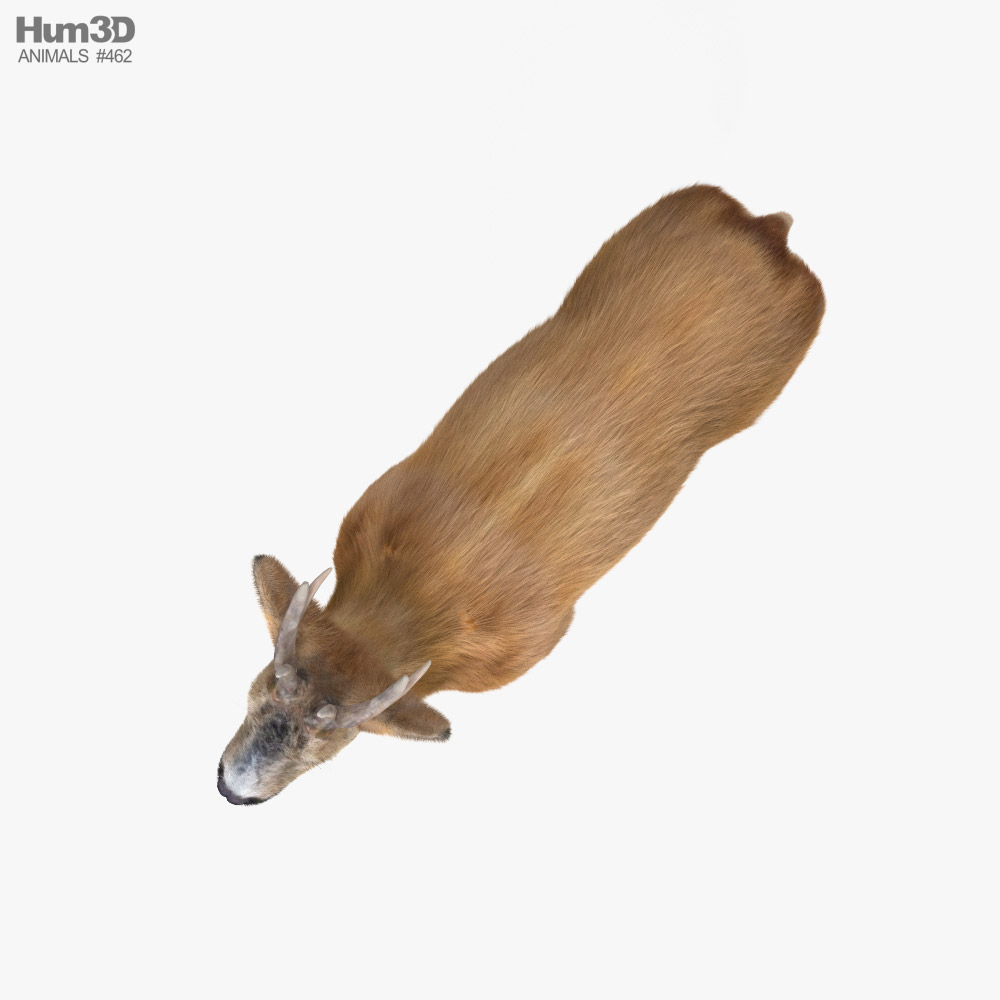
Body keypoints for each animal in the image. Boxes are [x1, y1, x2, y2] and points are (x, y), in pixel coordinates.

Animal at [218, 184, 825, 804]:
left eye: (339, 740)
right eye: (260, 683)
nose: (234, 788)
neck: (425, 588)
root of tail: (767, 228)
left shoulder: (530, 643)